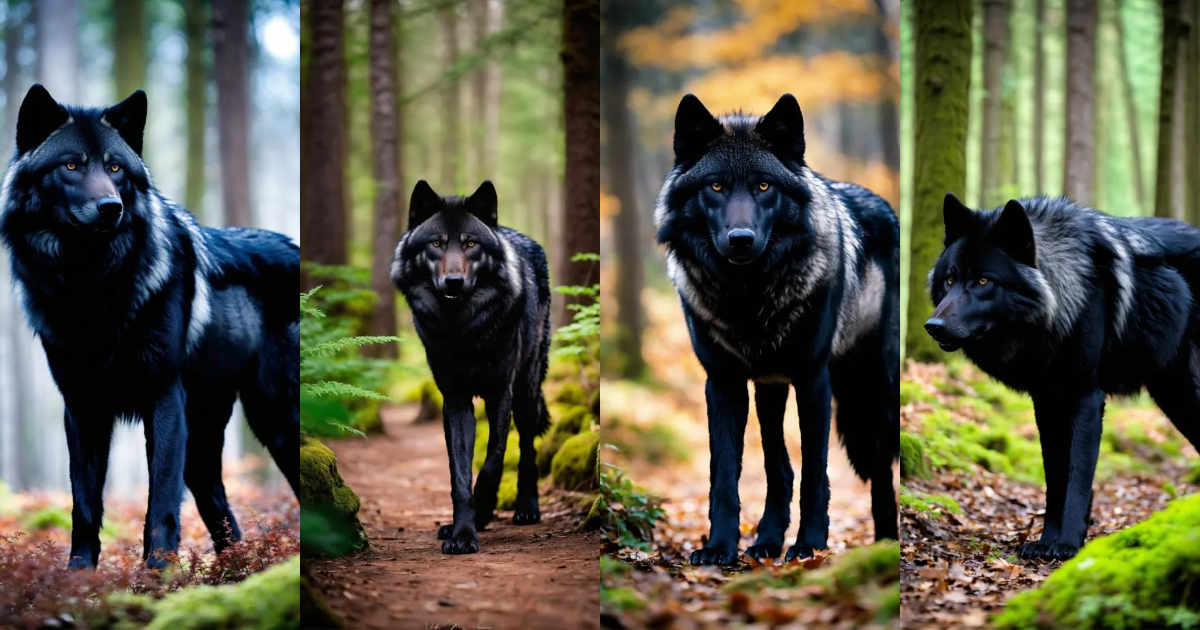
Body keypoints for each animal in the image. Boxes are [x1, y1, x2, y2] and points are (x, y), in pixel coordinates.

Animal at [0, 85, 299, 569]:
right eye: (71, 165)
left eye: (115, 168)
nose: (111, 207)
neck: (92, 289)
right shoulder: (81, 407)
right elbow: (84, 503)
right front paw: (78, 575)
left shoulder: (163, 397)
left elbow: (159, 500)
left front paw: (159, 574)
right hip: (205, 439)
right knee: (222, 510)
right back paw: (236, 571)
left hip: (273, 418)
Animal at [391, 179, 551, 555]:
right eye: (436, 243)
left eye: (470, 244)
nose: (453, 281)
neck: (463, 330)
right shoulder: (455, 399)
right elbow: (459, 475)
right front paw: (462, 532)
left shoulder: (500, 394)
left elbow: (493, 461)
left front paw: (484, 511)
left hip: (526, 391)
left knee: (528, 448)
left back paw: (527, 508)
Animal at [655, 93, 901, 566]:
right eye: (716, 187)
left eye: (764, 187)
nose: (741, 239)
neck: (748, 297)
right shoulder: (724, 383)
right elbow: (724, 475)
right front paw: (719, 547)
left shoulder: (813, 379)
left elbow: (815, 473)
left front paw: (809, 544)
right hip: (772, 388)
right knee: (779, 465)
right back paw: (767, 541)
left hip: (867, 390)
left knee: (879, 467)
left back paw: (884, 544)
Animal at [925, 193, 1200, 560]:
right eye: (950, 279)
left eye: (983, 281)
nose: (933, 326)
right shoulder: (1046, 402)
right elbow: (1055, 479)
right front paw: (1045, 542)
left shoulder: (1086, 398)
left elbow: (1078, 477)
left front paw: (1069, 543)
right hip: (1176, 397)